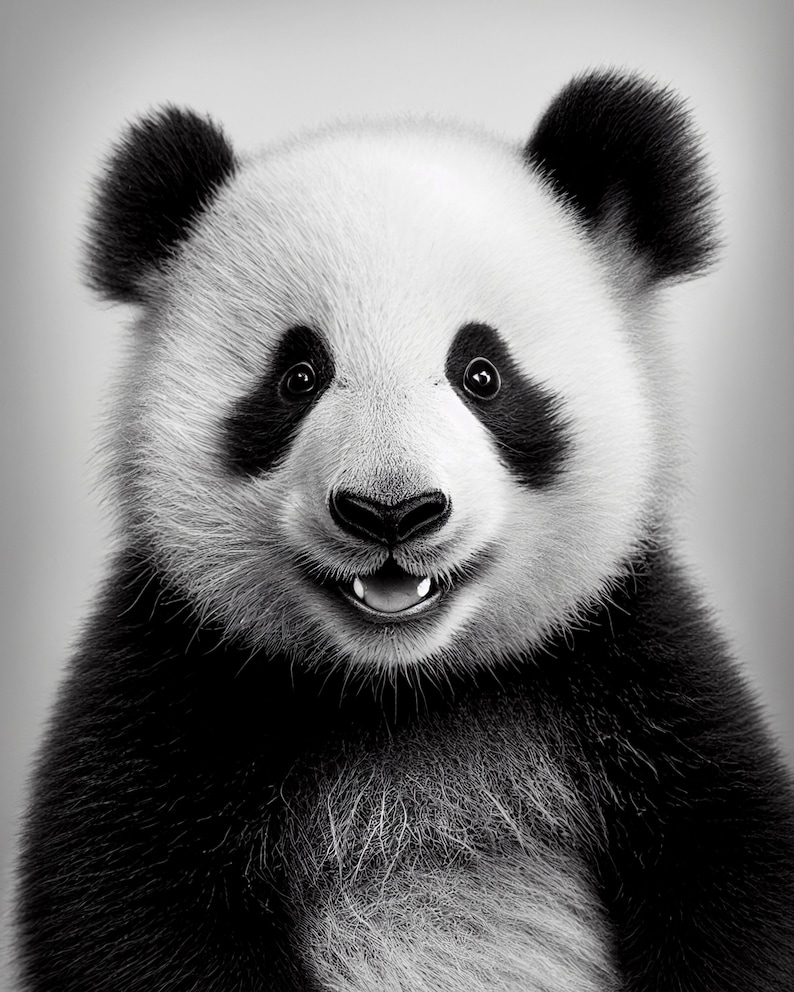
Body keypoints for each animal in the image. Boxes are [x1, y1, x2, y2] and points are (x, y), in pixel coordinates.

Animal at [15, 70, 794, 992]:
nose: (391, 510)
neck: (407, 693)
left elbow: (732, 865)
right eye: (298, 375)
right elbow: (127, 906)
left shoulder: (632, 670)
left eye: (482, 374)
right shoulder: (176, 684)